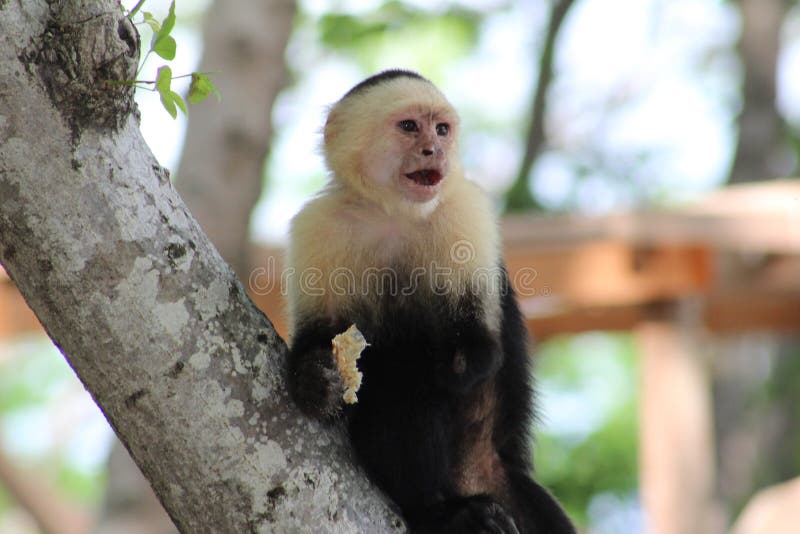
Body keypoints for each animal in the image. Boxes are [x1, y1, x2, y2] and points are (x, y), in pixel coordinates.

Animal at [286, 69, 575, 534]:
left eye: (441, 129)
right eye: (409, 127)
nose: (433, 150)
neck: (394, 213)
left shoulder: (465, 211)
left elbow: (478, 347)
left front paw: (438, 352)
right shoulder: (318, 226)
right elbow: (317, 333)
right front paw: (315, 379)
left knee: (411, 380)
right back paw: (438, 511)